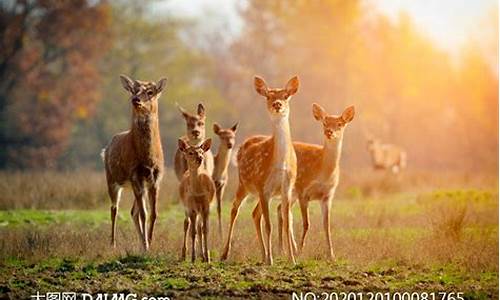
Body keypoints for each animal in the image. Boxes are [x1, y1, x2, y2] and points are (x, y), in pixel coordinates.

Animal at [102, 74, 167, 251]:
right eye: (133, 90)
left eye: (150, 92)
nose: (135, 99)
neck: (148, 158)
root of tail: (106, 148)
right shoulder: (135, 175)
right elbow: (144, 214)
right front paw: (146, 246)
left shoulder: (155, 178)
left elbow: (153, 213)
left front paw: (149, 242)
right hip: (112, 179)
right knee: (114, 209)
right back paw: (112, 244)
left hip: (135, 185)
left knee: (133, 212)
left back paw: (140, 243)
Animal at [221, 75, 298, 264]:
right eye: (268, 96)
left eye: (286, 95)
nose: (277, 104)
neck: (280, 163)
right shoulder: (263, 185)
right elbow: (269, 225)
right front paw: (271, 260)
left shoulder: (286, 187)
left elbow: (287, 223)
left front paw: (292, 259)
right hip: (244, 184)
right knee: (235, 209)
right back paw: (225, 254)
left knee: (255, 214)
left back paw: (263, 255)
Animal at [278, 103, 356, 260]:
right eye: (324, 122)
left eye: (340, 124)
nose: (329, 132)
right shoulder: (303, 191)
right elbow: (306, 223)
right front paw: (301, 252)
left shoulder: (327, 196)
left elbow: (327, 225)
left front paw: (331, 255)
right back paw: (285, 250)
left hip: (291, 194)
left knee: (281, 211)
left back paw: (285, 250)